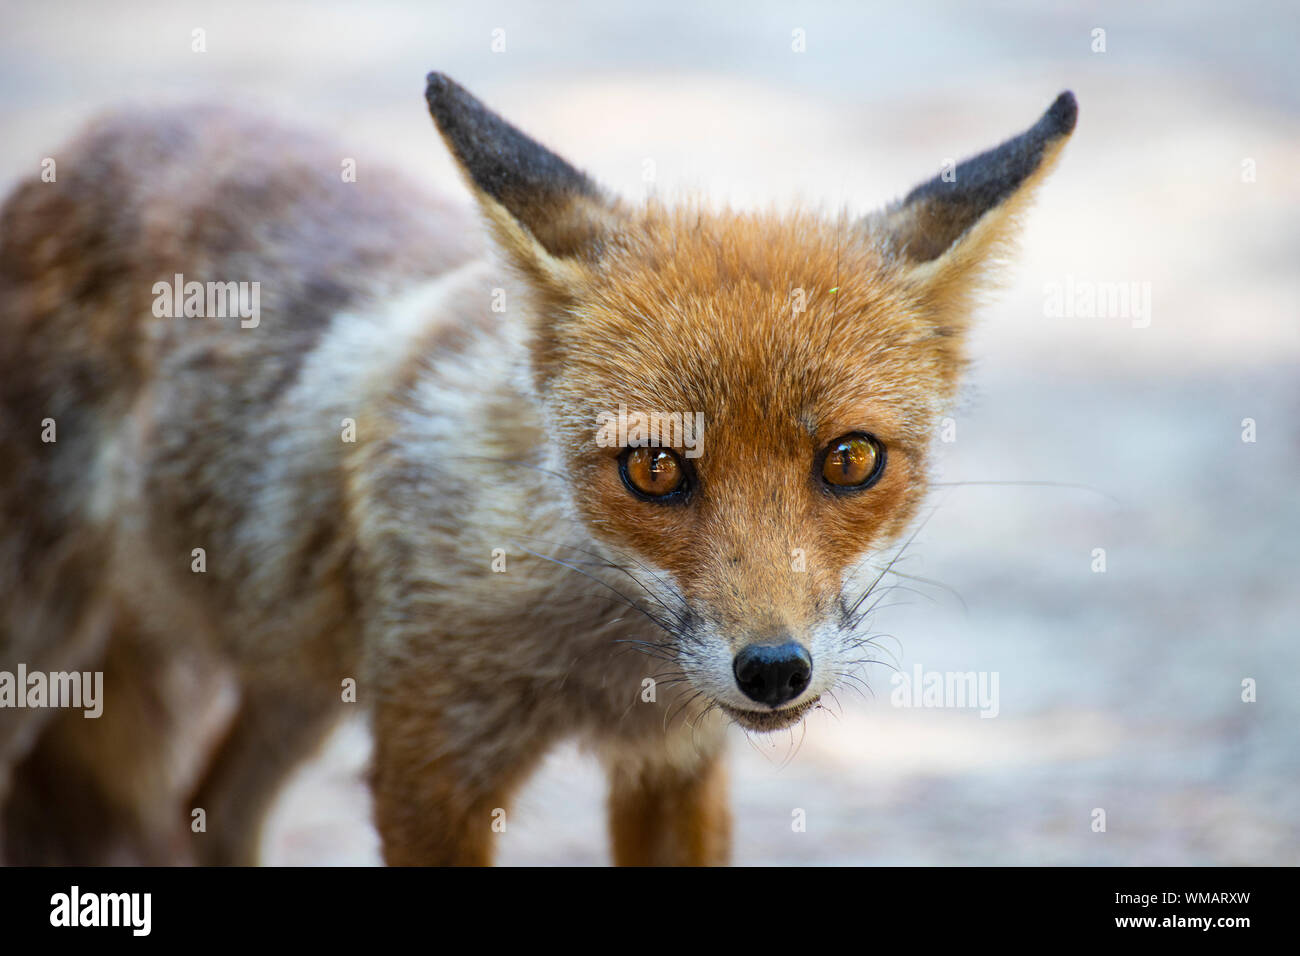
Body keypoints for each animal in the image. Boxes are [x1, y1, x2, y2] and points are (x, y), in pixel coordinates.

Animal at [0, 73, 1076, 866]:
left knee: (210, 808)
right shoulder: (431, 764)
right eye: (654, 470)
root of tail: (91, 139)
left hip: (297, 681)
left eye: (849, 459)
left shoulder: (674, 766)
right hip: (40, 658)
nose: (773, 670)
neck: (599, 661)